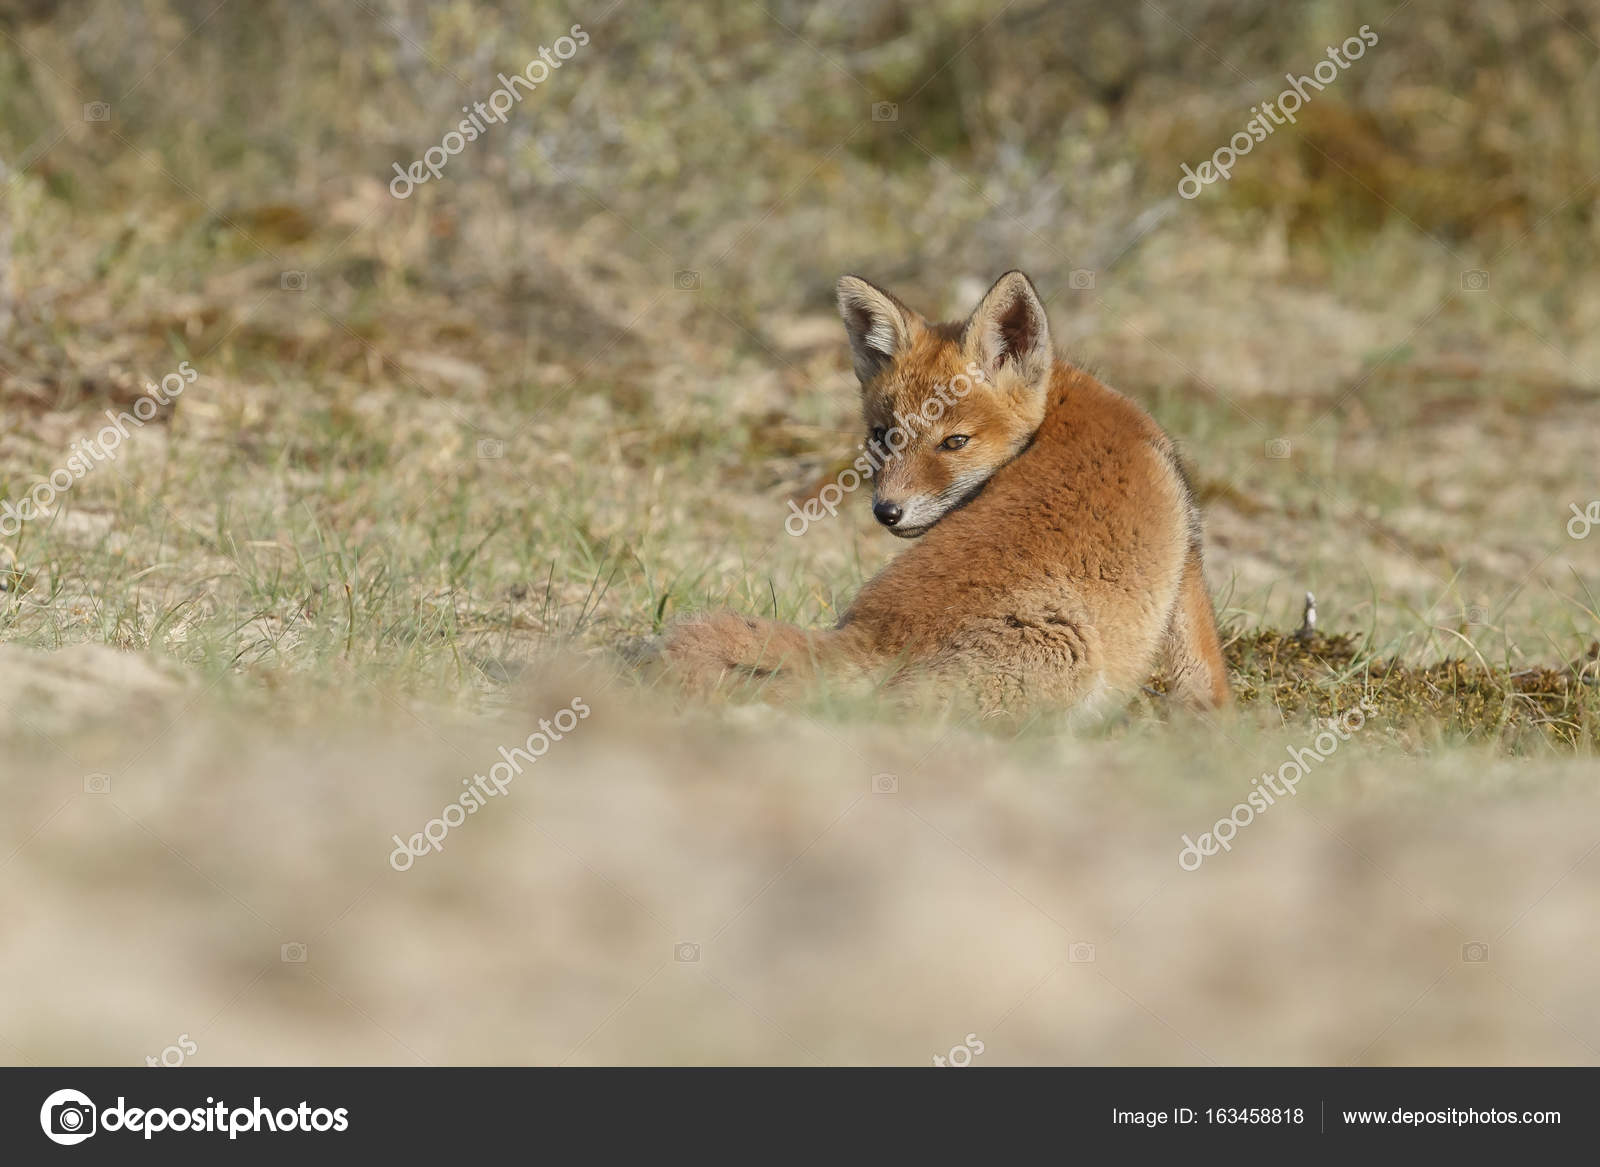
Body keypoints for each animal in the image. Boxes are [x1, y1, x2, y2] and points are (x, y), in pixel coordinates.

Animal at [661, 270, 1231, 717]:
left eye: (954, 442)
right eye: (883, 436)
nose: (886, 511)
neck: (1062, 404)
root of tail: (871, 630)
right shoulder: (1188, 564)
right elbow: (1205, 675)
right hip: (1063, 653)